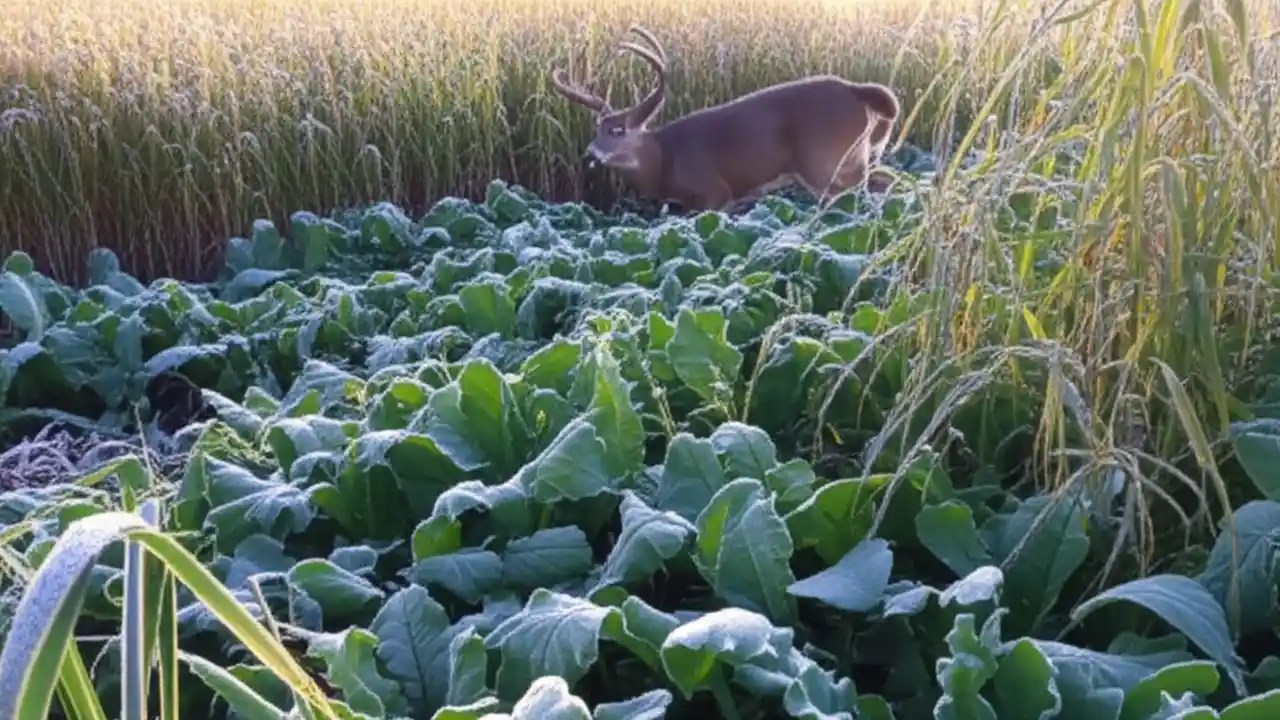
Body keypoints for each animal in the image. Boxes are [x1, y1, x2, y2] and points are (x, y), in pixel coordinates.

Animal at [549, 26, 901, 214]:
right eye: (597, 129)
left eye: (618, 130)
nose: (589, 153)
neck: (665, 161)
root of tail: (857, 91)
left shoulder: (713, 192)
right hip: (854, 158)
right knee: (887, 179)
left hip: (827, 162)